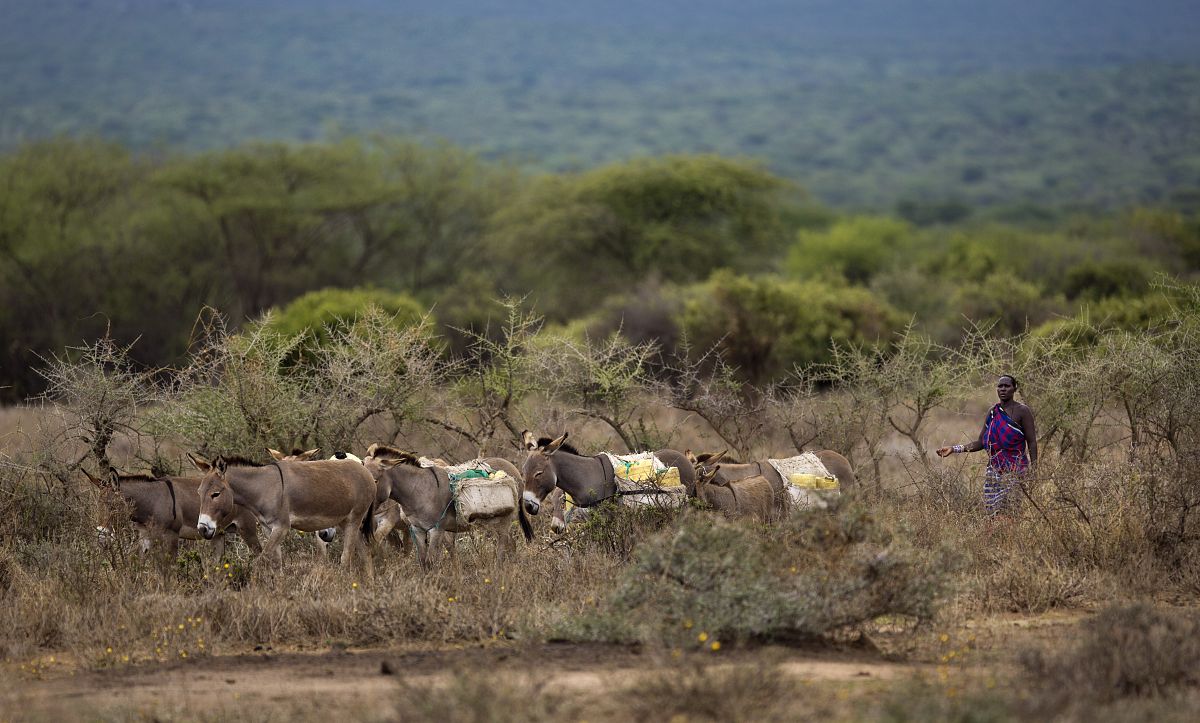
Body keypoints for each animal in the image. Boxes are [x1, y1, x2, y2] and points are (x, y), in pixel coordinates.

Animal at [84, 467, 261, 567]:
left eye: (112, 506)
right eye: (97, 505)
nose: (101, 536)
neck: (152, 501)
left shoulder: (172, 536)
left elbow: (170, 569)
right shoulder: (145, 536)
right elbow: (139, 564)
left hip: (247, 529)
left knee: (260, 554)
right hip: (218, 534)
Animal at [189, 453, 376, 572]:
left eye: (215, 494)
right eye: (198, 492)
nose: (202, 529)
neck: (264, 487)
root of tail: (366, 472)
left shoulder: (282, 527)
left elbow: (261, 561)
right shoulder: (269, 528)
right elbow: (276, 563)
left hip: (354, 519)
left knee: (346, 558)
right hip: (346, 522)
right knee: (365, 554)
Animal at [362, 445, 533, 567]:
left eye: (375, 480)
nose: (365, 514)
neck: (417, 489)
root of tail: (512, 468)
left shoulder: (436, 529)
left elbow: (430, 561)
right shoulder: (417, 529)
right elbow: (423, 562)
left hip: (504, 519)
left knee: (503, 547)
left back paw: (499, 573)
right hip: (492, 521)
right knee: (511, 544)